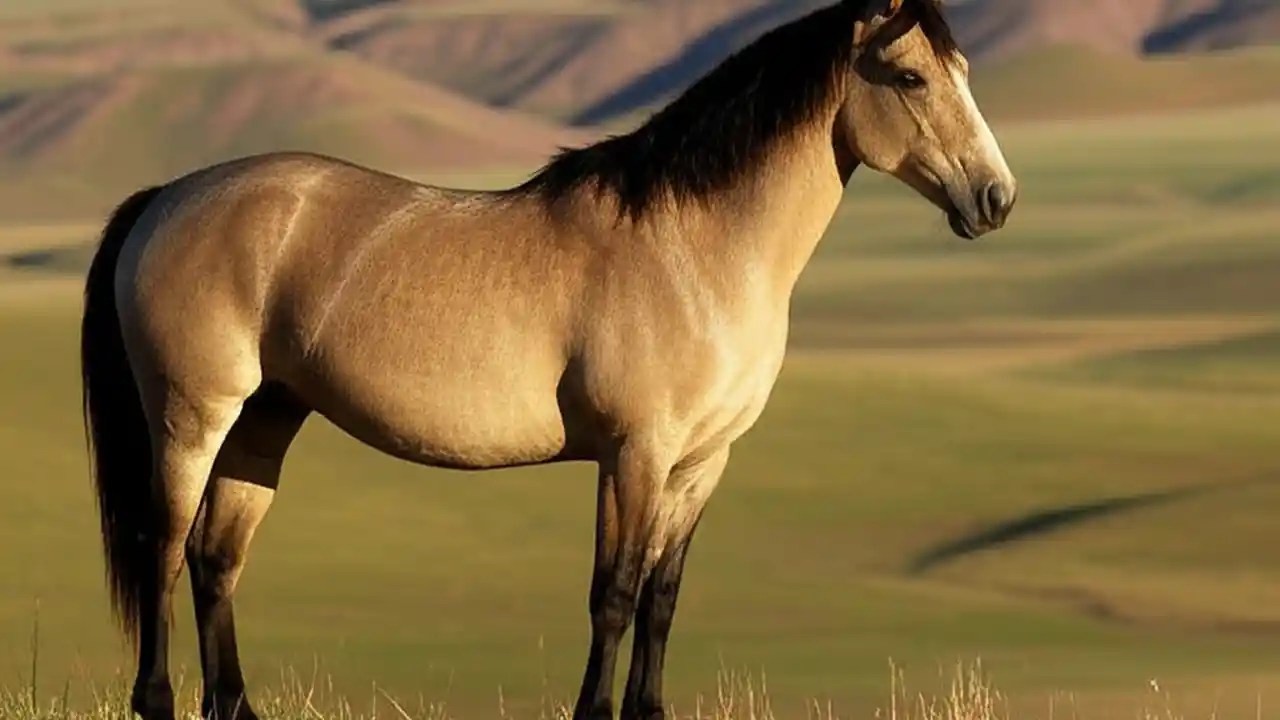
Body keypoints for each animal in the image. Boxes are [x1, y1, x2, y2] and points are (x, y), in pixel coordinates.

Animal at [80, 1, 1016, 718]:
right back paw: (155, 701)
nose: (996, 198)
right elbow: (614, 596)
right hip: (193, 416)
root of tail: (167, 197)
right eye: (910, 78)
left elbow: (662, 600)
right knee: (165, 547)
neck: (694, 249)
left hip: (265, 420)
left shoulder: (701, 463)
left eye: (964, 68)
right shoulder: (634, 456)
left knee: (215, 560)